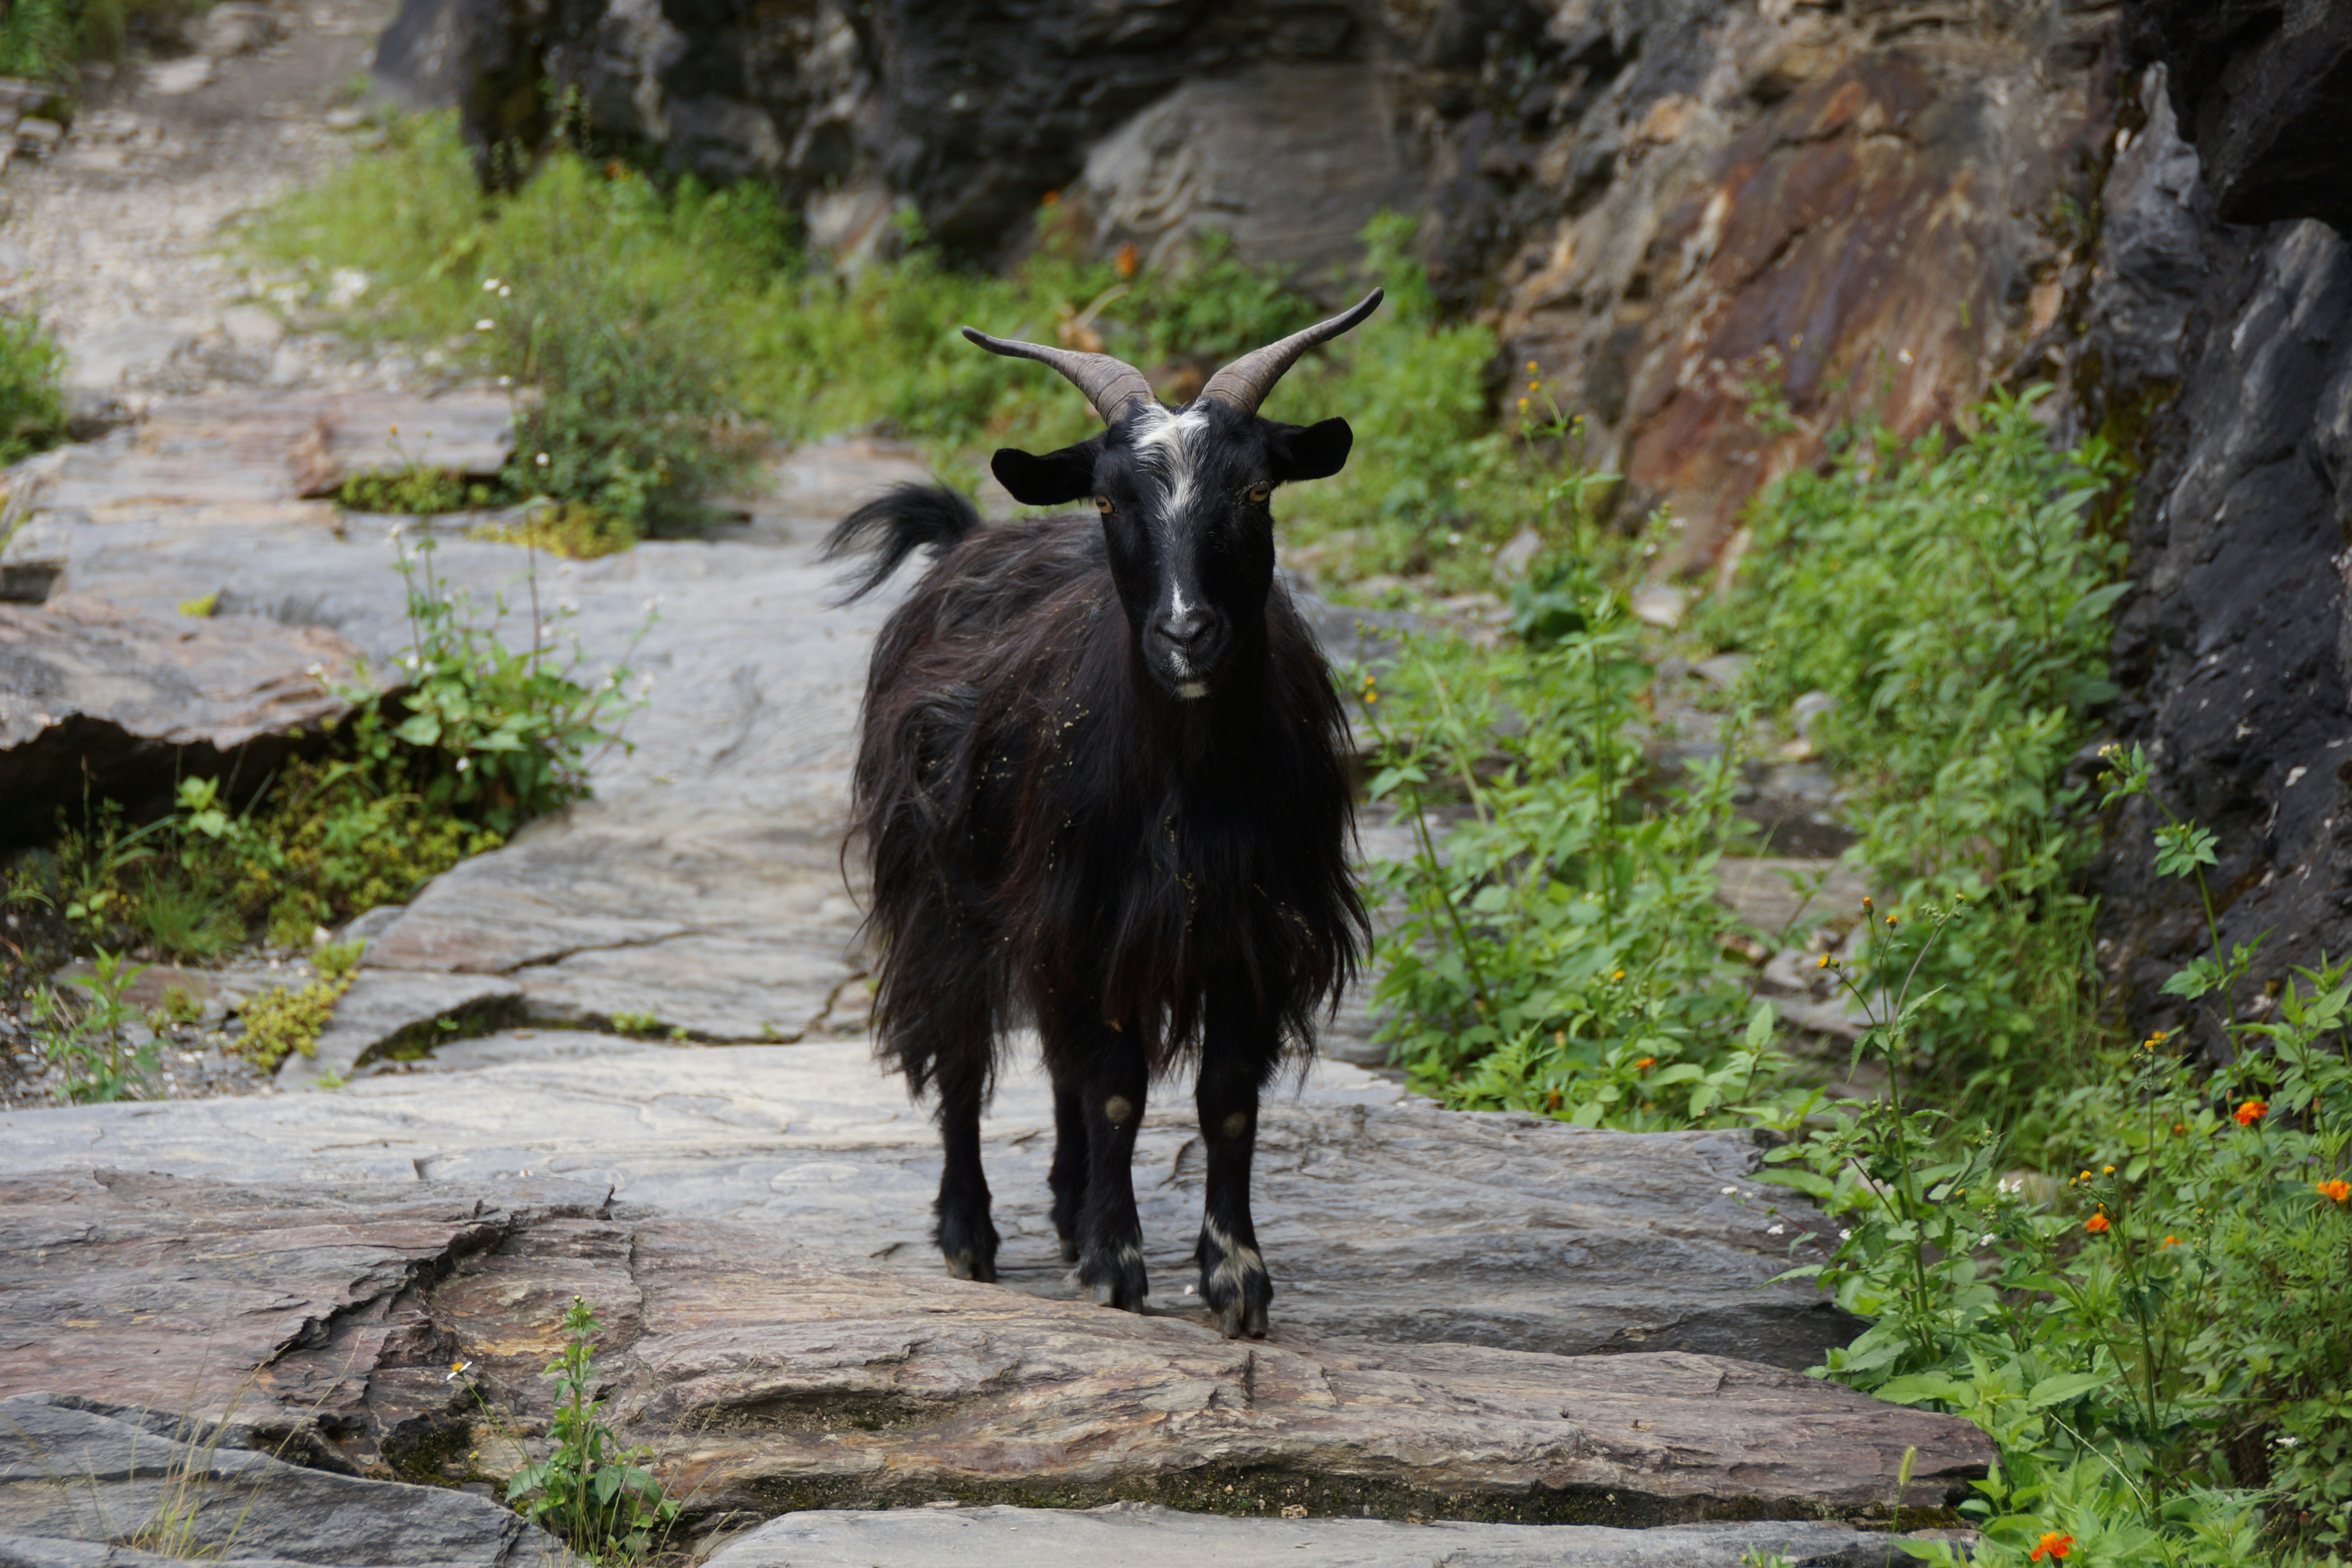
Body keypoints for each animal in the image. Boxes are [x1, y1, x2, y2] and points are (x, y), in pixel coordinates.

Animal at [825, 292, 1381, 1337]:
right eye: (1110, 500)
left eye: (1257, 492)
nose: (1186, 632)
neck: (1191, 784)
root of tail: (974, 535)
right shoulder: (1087, 911)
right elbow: (1119, 1090)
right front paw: (1118, 1265)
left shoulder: (1250, 928)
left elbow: (1224, 1099)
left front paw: (1235, 1277)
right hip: (943, 891)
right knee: (962, 1051)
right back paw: (970, 1233)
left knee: (1058, 1062)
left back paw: (1066, 1203)